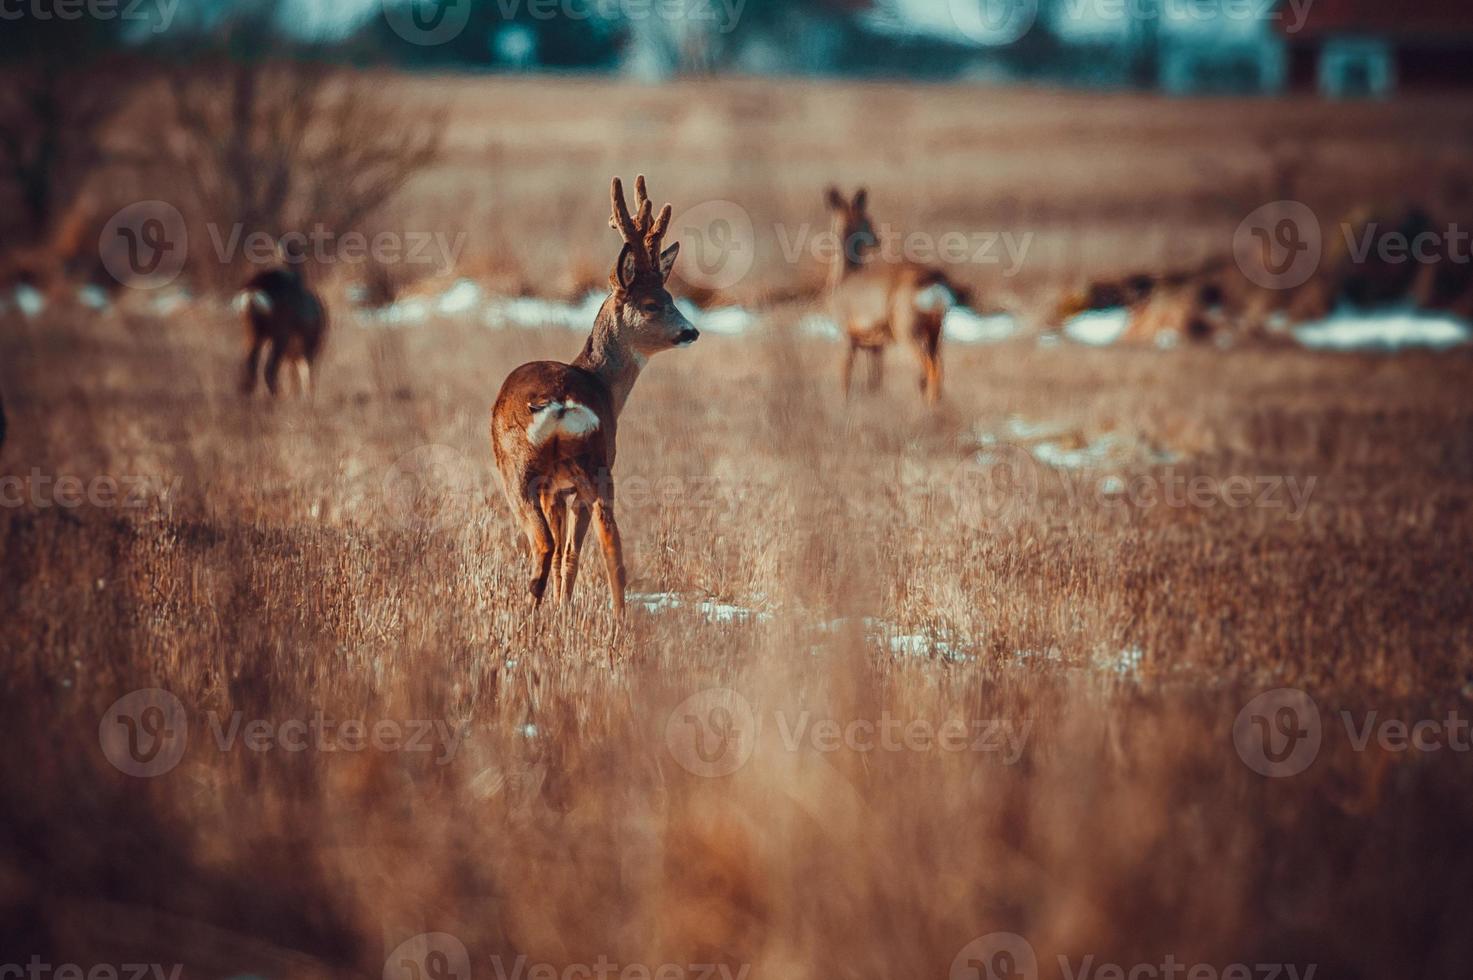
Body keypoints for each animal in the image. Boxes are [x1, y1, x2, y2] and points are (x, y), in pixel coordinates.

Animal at [238, 237, 328, 398]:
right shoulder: (310, 343)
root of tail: (254, 291)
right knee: (270, 369)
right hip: (280, 334)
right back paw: (278, 398)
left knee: (250, 366)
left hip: (252, 332)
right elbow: (306, 374)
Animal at [490, 175, 699, 613]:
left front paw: (559, 607)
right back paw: (618, 617)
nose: (692, 331)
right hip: (593, 467)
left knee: (549, 545)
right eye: (654, 303)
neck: (602, 383)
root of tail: (560, 402)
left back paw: (531, 615)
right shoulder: (559, 489)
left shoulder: (556, 486)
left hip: (524, 471)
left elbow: (562, 550)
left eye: (668, 299)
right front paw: (563, 607)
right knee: (608, 541)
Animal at [824, 186, 964, 405]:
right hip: (936, 328)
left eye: (867, 218)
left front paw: (843, 404)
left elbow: (845, 375)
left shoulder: (845, 332)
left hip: (906, 327)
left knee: (930, 368)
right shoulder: (876, 344)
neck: (843, 278)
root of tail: (933, 280)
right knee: (938, 367)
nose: (877, 239)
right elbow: (875, 379)